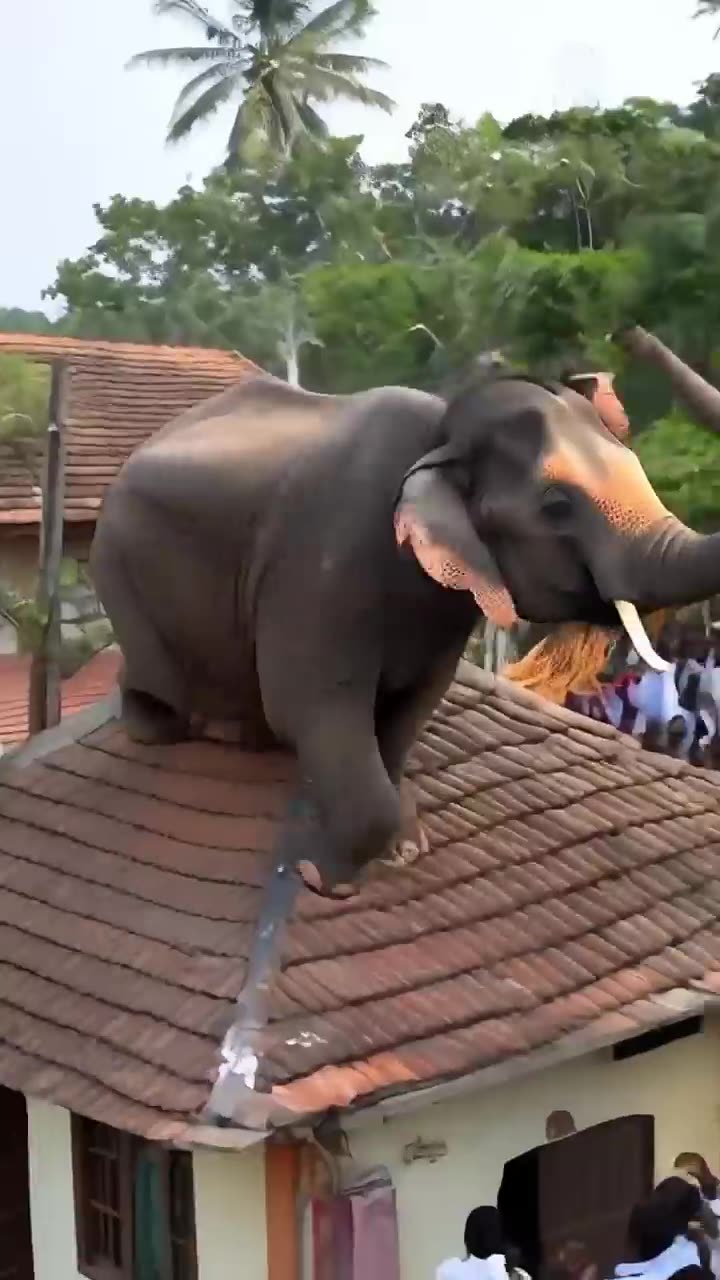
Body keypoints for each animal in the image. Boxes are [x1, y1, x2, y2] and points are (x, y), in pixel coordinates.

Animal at [89, 370, 720, 895]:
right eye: (557, 504)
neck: (442, 433)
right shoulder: (322, 563)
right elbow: (308, 706)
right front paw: (318, 874)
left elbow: (409, 710)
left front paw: (404, 850)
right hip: (117, 568)